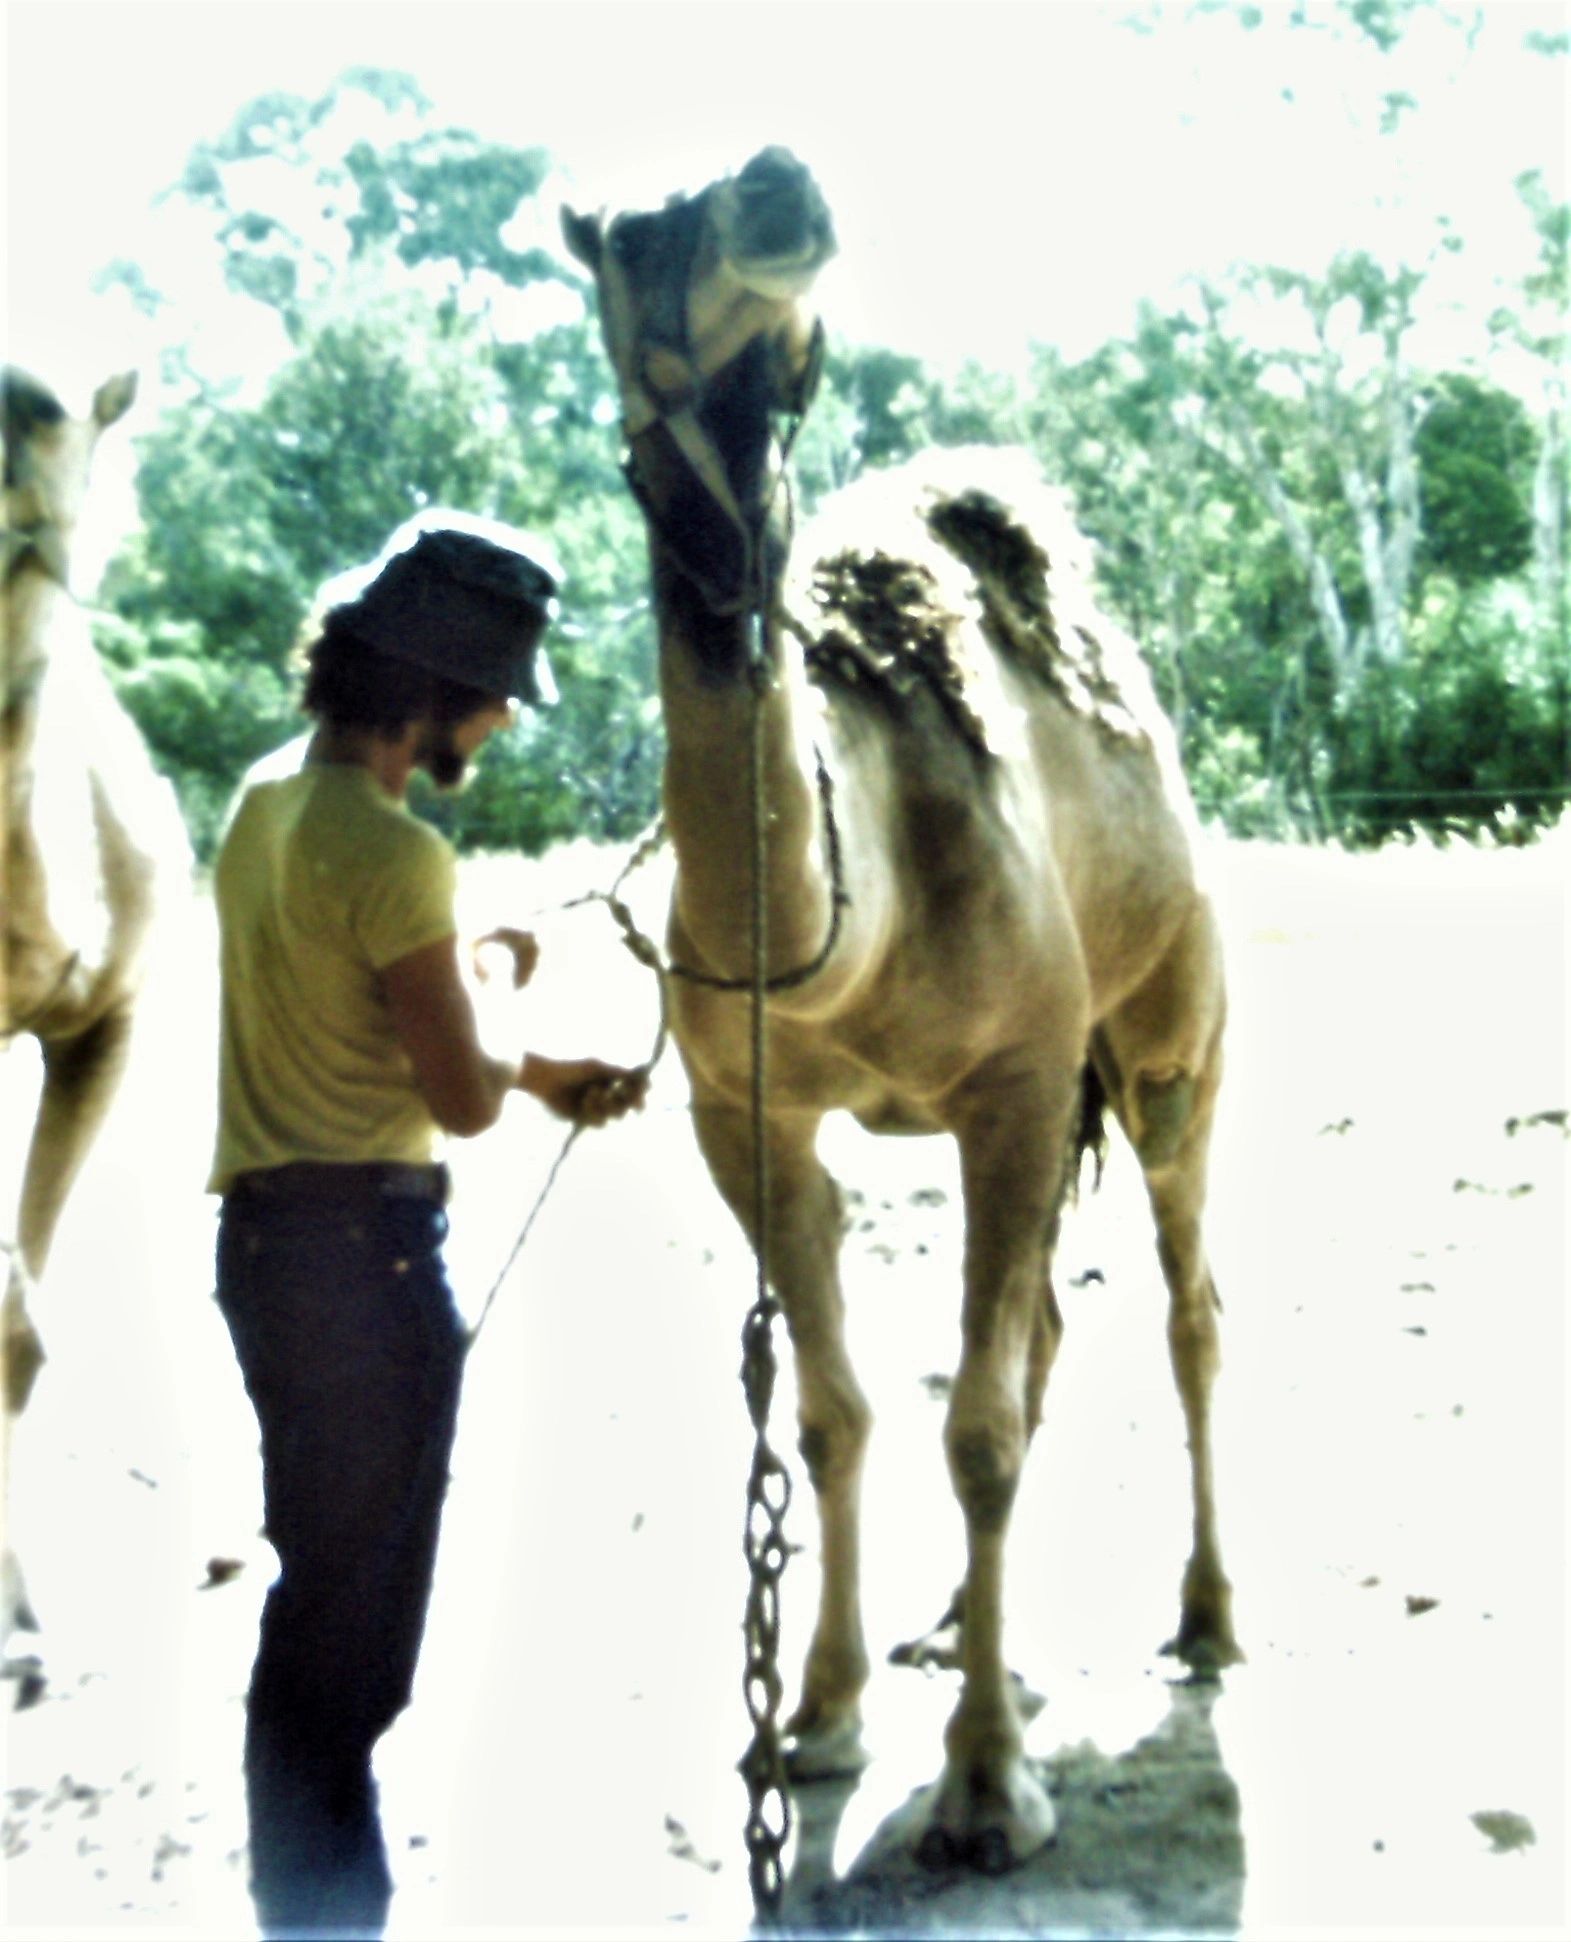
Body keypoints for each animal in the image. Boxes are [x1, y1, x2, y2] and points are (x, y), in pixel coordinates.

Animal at [562, 148, 1241, 1872]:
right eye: (636, 229)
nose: (777, 181)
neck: (830, 927)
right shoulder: (744, 1109)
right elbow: (829, 1411)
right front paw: (816, 1716)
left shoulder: (1010, 1083)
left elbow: (976, 1430)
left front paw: (988, 1787)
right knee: (1041, 1331)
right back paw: (945, 1621)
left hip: (1162, 1037)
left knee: (1182, 1306)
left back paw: (1204, 1617)